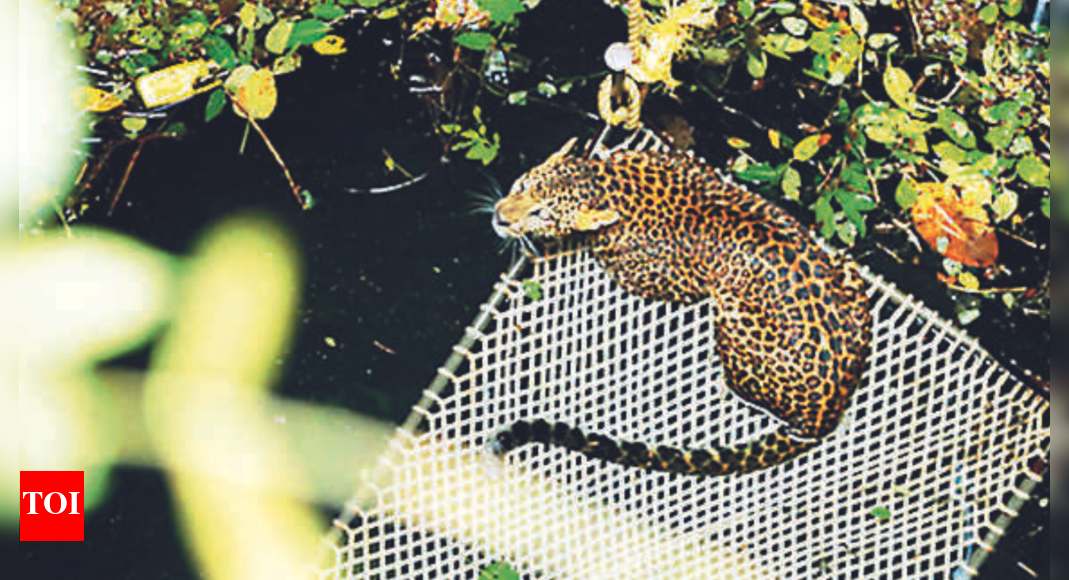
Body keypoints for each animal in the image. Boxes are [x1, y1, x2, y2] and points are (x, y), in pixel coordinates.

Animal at [487, 138, 873, 476]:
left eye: (540, 213)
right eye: (522, 184)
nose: (499, 216)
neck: (609, 182)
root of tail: (824, 414)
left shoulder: (668, 283)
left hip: (730, 310)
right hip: (849, 275)